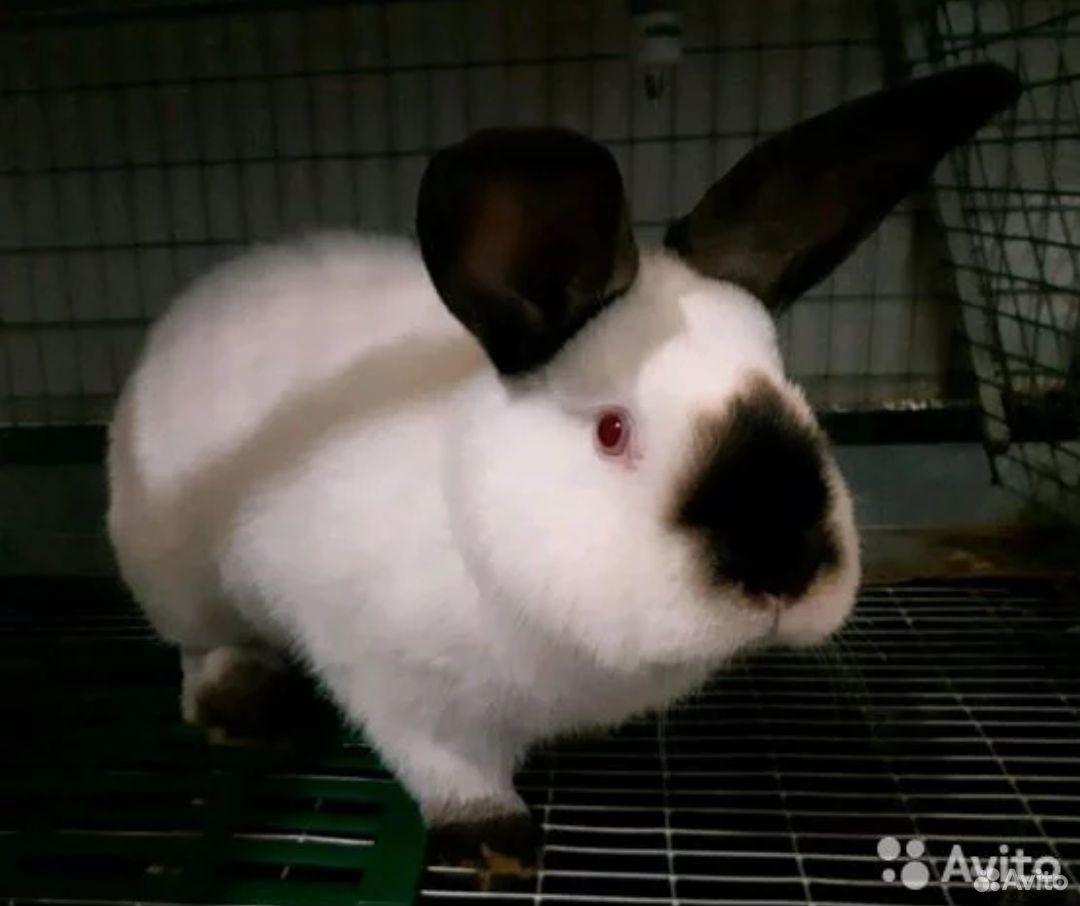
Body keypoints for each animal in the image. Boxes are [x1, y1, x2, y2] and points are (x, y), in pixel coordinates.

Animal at [107, 63, 1020, 873]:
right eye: (613, 431)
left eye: (800, 404)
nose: (783, 572)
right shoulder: (393, 684)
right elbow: (445, 767)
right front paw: (496, 842)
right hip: (180, 581)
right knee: (203, 648)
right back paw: (242, 709)